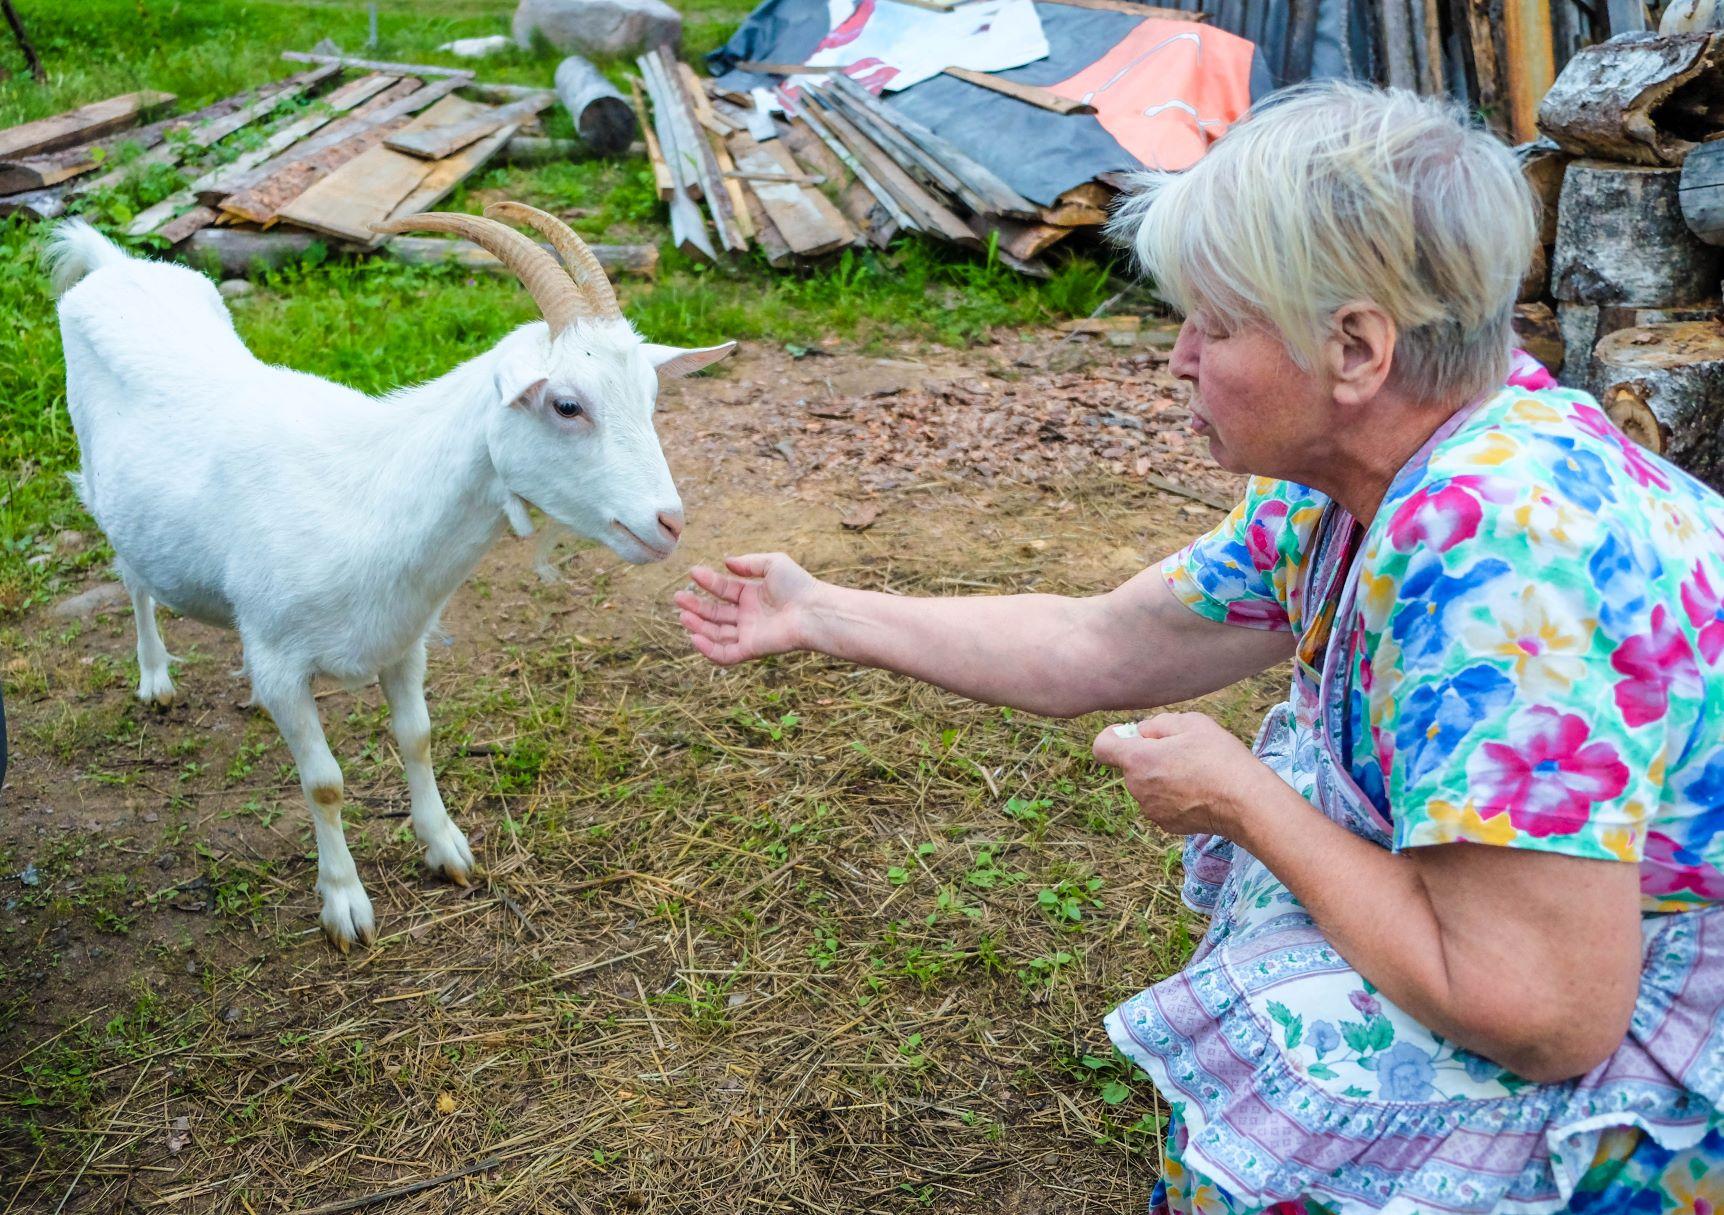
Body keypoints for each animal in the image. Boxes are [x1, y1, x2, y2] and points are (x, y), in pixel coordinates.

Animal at [47, 205, 734, 951]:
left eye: (651, 396)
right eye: (567, 405)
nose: (668, 522)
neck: (369, 495)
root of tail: (113, 264)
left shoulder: (405, 640)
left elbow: (417, 736)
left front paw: (446, 847)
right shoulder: (281, 659)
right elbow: (324, 782)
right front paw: (344, 904)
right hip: (102, 483)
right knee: (131, 576)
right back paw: (154, 679)